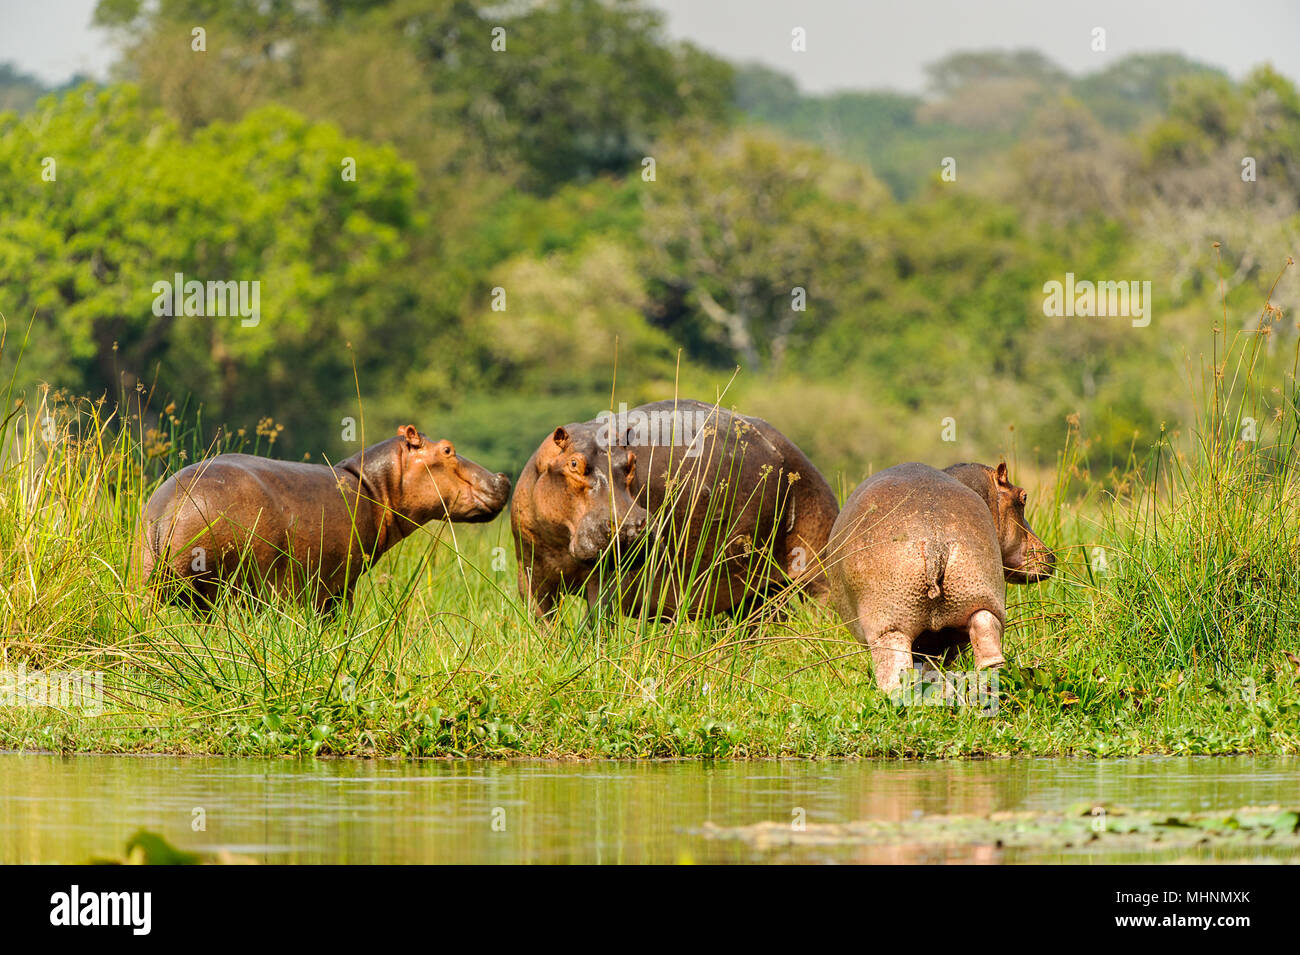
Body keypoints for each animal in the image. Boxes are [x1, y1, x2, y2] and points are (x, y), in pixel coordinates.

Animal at [134, 425, 510, 610]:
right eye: (447, 449)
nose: (503, 477)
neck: (376, 485)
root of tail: (170, 509)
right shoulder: (339, 582)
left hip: (148, 579)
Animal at [510, 398, 839, 618]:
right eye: (573, 463)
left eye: (631, 463)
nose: (631, 526)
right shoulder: (529, 574)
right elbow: (542, 622)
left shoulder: (607, 577)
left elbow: (598, 624)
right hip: (757, 588)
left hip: (817, 558)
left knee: (823, 603)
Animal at [827, 461, 1054, 692]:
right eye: (1023, 497)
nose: (1051, 555)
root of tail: (934, 540)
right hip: (979, 598)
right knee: (987, 644)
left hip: (890, 628)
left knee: (894, 674)